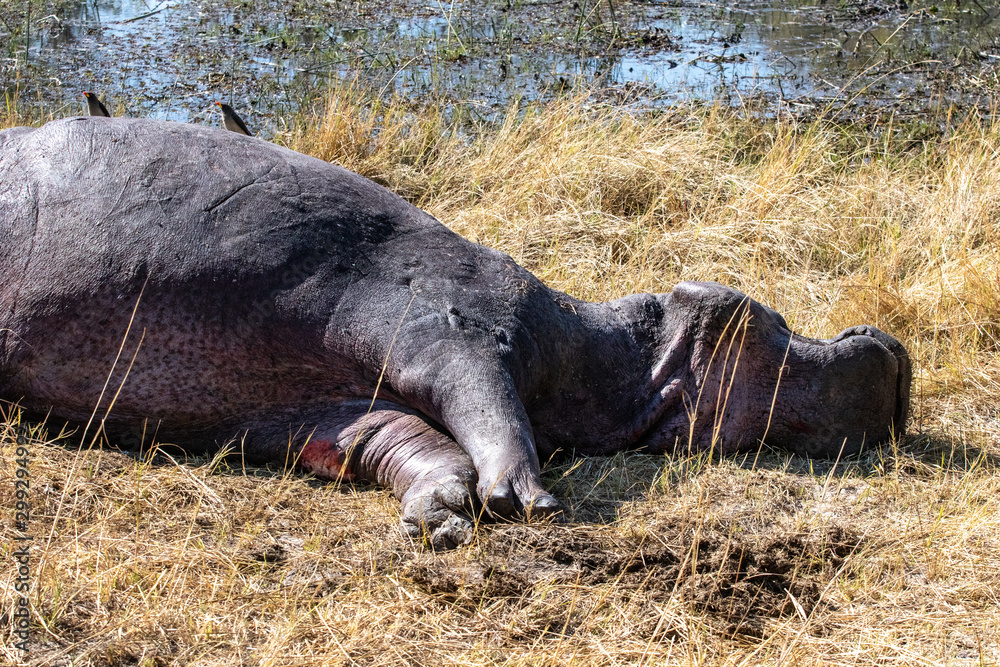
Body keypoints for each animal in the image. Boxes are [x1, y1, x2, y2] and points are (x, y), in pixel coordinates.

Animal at [0, 118, 910, 548]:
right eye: (768, 314)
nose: (887, 335)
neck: (600, 348)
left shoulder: (330, 406)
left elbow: (400, 441)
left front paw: (439, 513)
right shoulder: (456, 330)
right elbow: (491, 405)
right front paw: (526, 497)